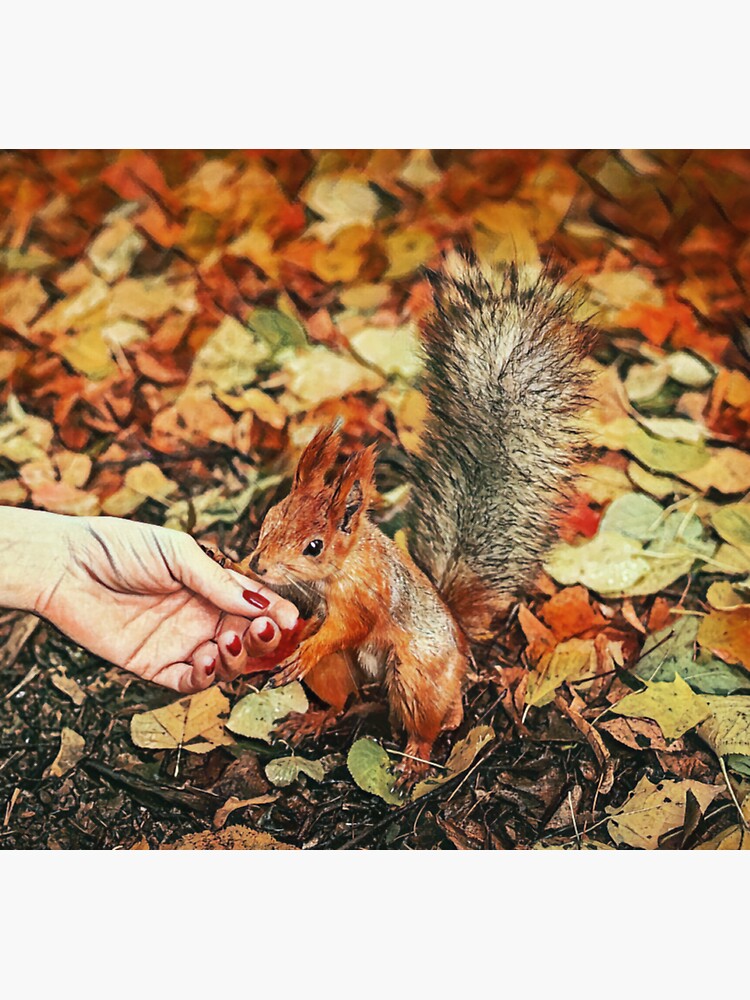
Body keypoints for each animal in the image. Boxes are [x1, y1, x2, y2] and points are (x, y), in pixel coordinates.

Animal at [244, 248, 593, 787]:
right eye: (269, 518)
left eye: (314, 546)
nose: (259, 565)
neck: (337, 571)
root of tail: (462, 646)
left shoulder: (365, 596)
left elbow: (344, 628)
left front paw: (307, 644)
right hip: (344, 674)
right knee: (344, 700)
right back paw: (314, 718)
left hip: (416, 677)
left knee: (429, 722)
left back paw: (414, 757)